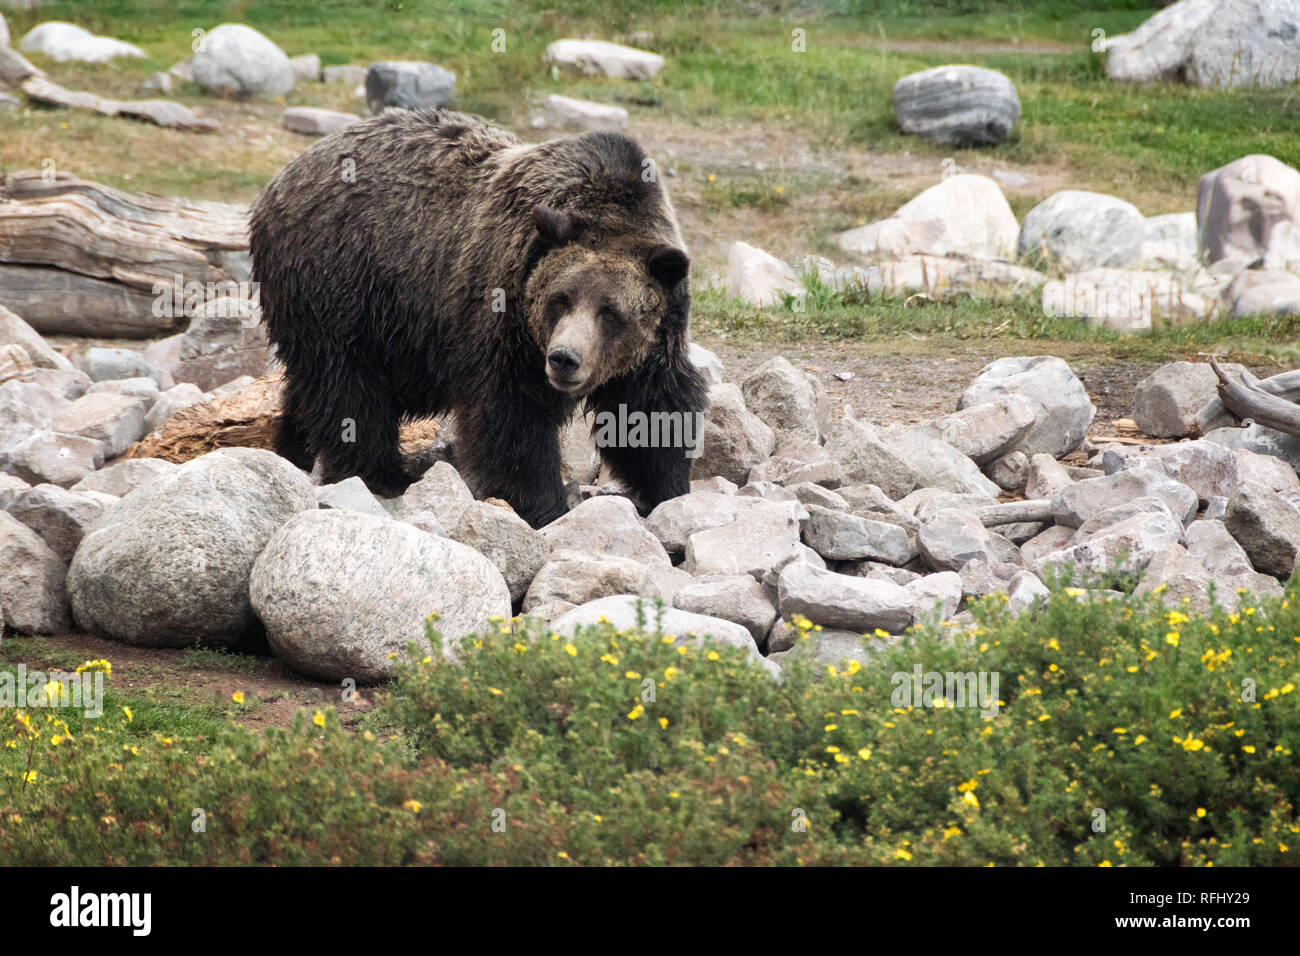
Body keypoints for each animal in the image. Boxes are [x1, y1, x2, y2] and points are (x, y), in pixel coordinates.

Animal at [249, 108, 708, 528]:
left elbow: (651, 410)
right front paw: (545, 506)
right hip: (342, 281)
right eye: (560, 299)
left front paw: (668, 490)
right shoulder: (502, 312)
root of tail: (282, 178)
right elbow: (511, 418)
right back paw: (382, 473)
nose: (564, 358)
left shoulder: (654, 341)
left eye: (610, 312)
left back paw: (292, 447)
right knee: (349, 385)